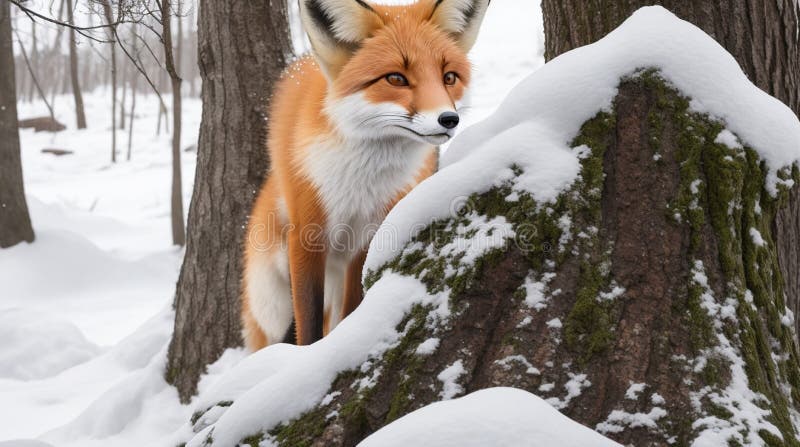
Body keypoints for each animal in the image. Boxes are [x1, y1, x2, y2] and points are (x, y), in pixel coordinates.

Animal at [241, 0, 490, 350]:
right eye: (396, 78)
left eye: (449, 77)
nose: (449, 119)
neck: (360, 183)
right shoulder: (307, 234)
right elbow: (308, 322)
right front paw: (307, 357)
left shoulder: (368, 238)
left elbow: (352, 309)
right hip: (271, 301)